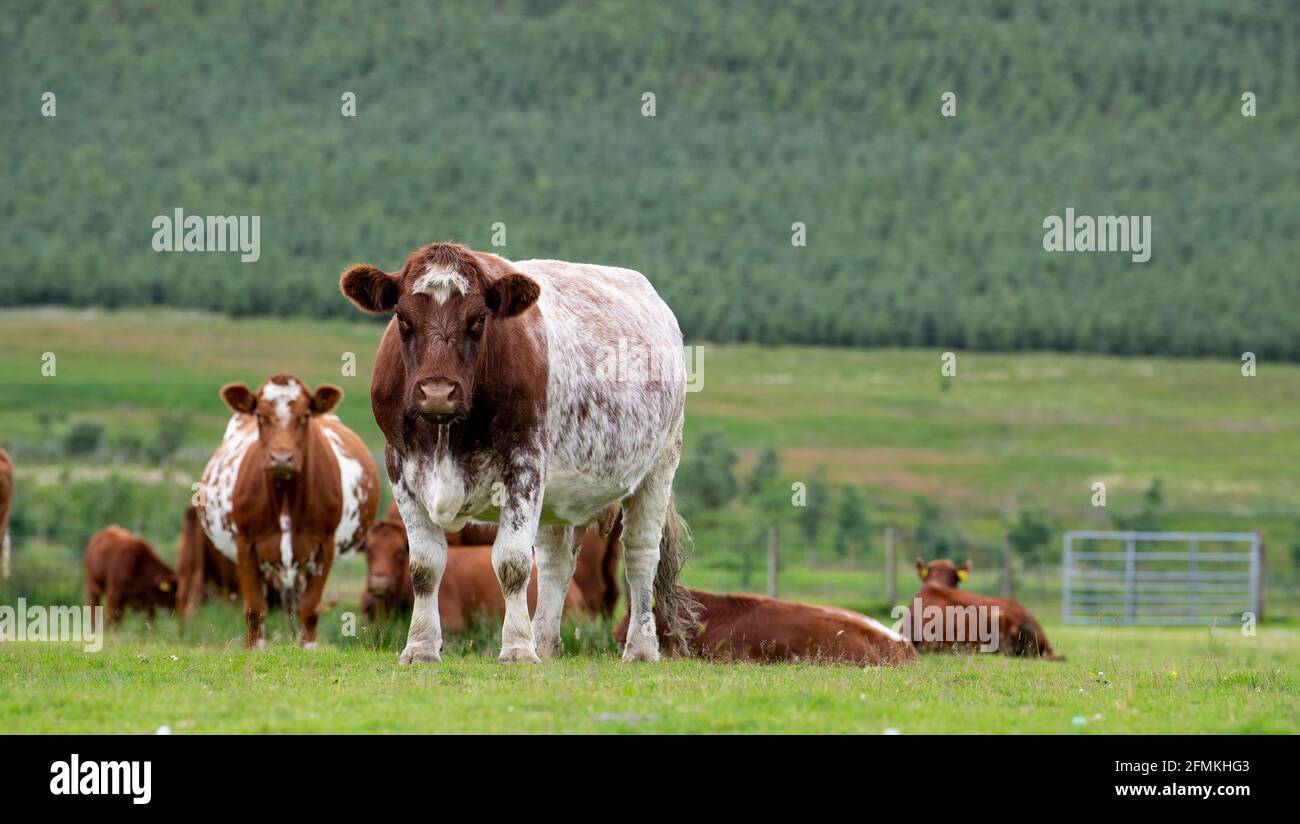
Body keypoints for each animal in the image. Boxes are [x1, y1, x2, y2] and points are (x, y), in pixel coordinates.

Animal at [198, 374, 381, 648]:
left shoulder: (324, 546)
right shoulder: (245, 546)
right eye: (260, 415)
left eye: (305, 415)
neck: (285, 497)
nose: (281, 458)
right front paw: (255, 649)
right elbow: (255, 609)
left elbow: (310, 608)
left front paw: (308, 648)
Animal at [340, 241, 694, 664]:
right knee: (556, 562)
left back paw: (639, 647)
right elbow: (424, 565)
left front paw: (517, 648)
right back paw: (545, 642)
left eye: (479, 319)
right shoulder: (400, 465)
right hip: (558, 492)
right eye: (403, 318)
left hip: (659, 467)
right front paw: (421, 647)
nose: (437, 392)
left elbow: (512, 563)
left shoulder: (524, 464)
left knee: (640, 556)